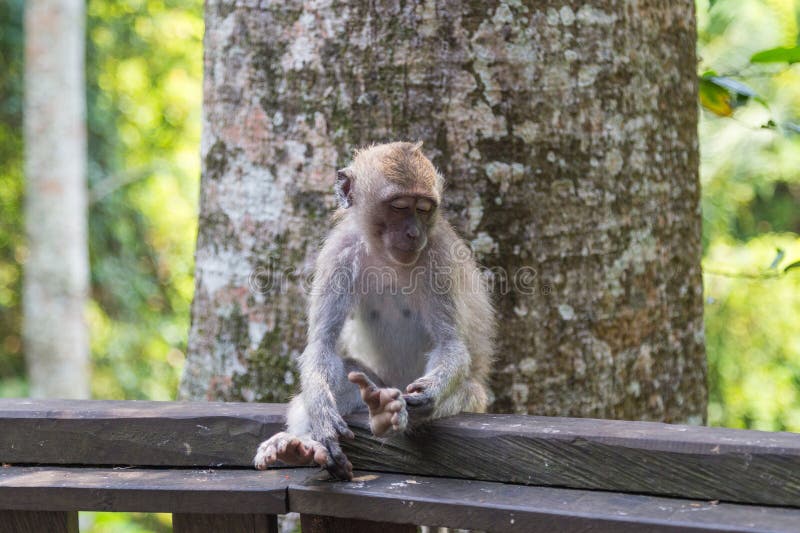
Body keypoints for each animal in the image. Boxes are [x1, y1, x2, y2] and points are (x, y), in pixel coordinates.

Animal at [253, 141, 495, 480]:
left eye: (424, 208)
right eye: (399, 206)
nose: (413, 233)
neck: (386, 256)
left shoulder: (440, 259)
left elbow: (450, 344)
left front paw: (429, 393)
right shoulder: (339, 253)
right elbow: (323, 343)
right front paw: (321, 413)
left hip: (471, 399)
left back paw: (388, 413)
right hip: (377, 382)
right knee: (347, 374)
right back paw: (299, 444)